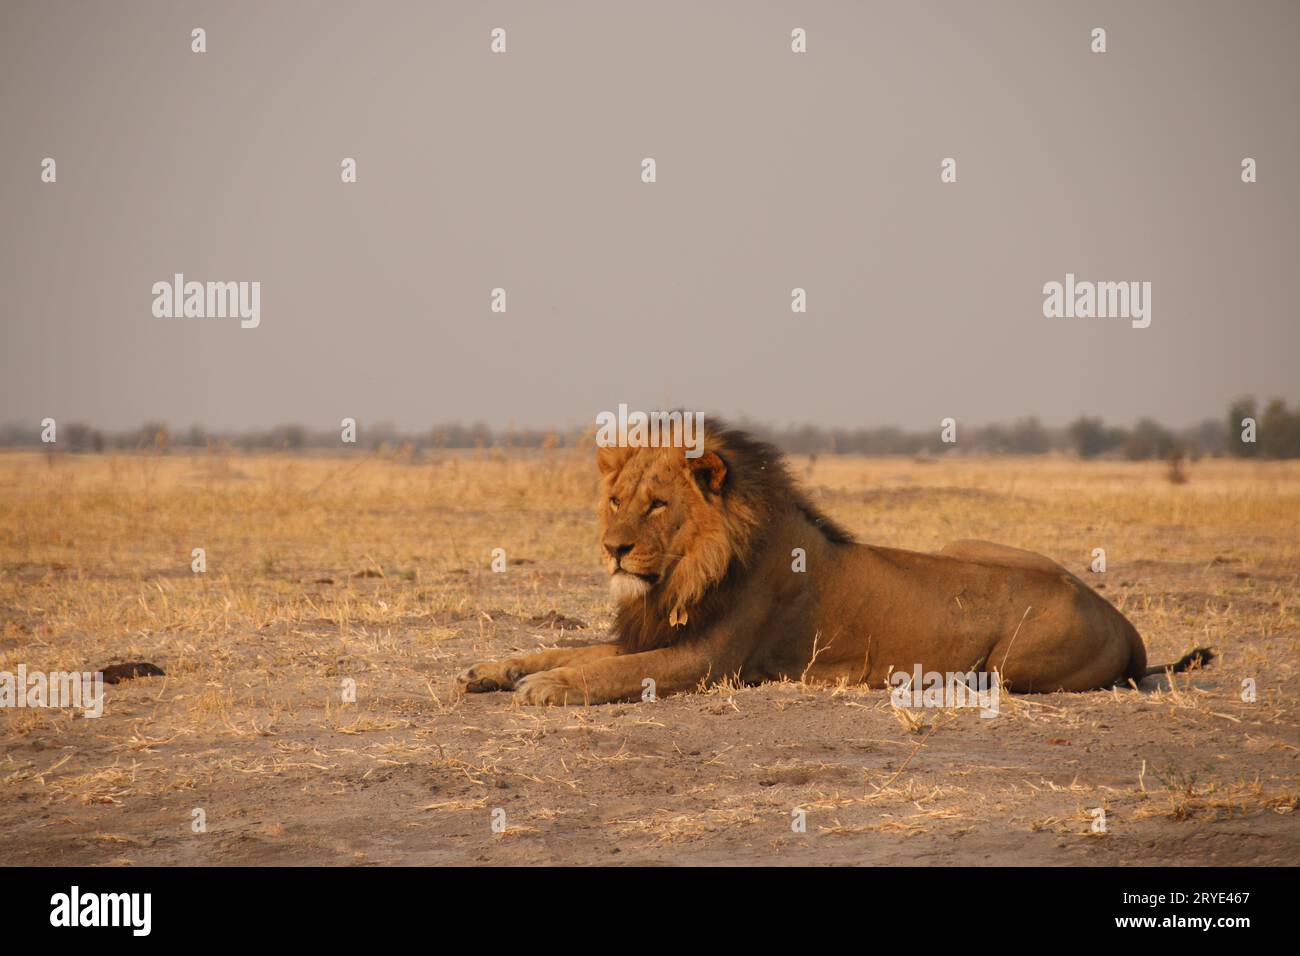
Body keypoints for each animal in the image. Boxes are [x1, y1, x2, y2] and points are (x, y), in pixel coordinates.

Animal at [459, 422, 1212, 705]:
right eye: (616, 500)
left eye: (657, 505)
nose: (611, 547)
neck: (685, 572)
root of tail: (1123, 620)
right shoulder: (653, 631)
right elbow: (569, 649)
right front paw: (496, 668)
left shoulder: (707, 661)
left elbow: (609, 671)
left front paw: (546, 689)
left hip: (1011, 663)